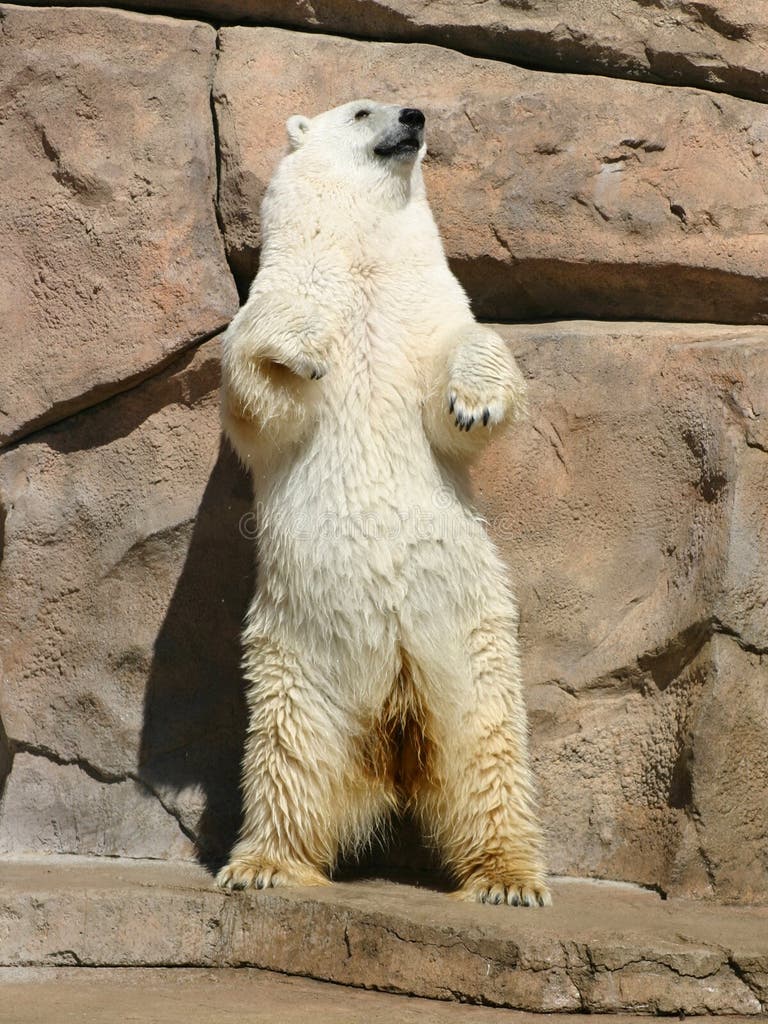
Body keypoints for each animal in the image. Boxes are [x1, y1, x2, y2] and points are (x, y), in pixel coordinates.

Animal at [216, 100, 550, 907]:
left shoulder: (428, 305)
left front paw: (473, 402)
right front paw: (304, 349)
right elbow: (260, 392)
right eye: (363, 109)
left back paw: (508, 876)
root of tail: (396, 711)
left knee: (488, 752)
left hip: (471, 636)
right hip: (298, 656)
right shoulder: (284, 287)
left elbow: (463, 364)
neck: (363, 262)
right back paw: (266, 864)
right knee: (290, 755)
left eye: (403, 102)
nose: (415, 116)